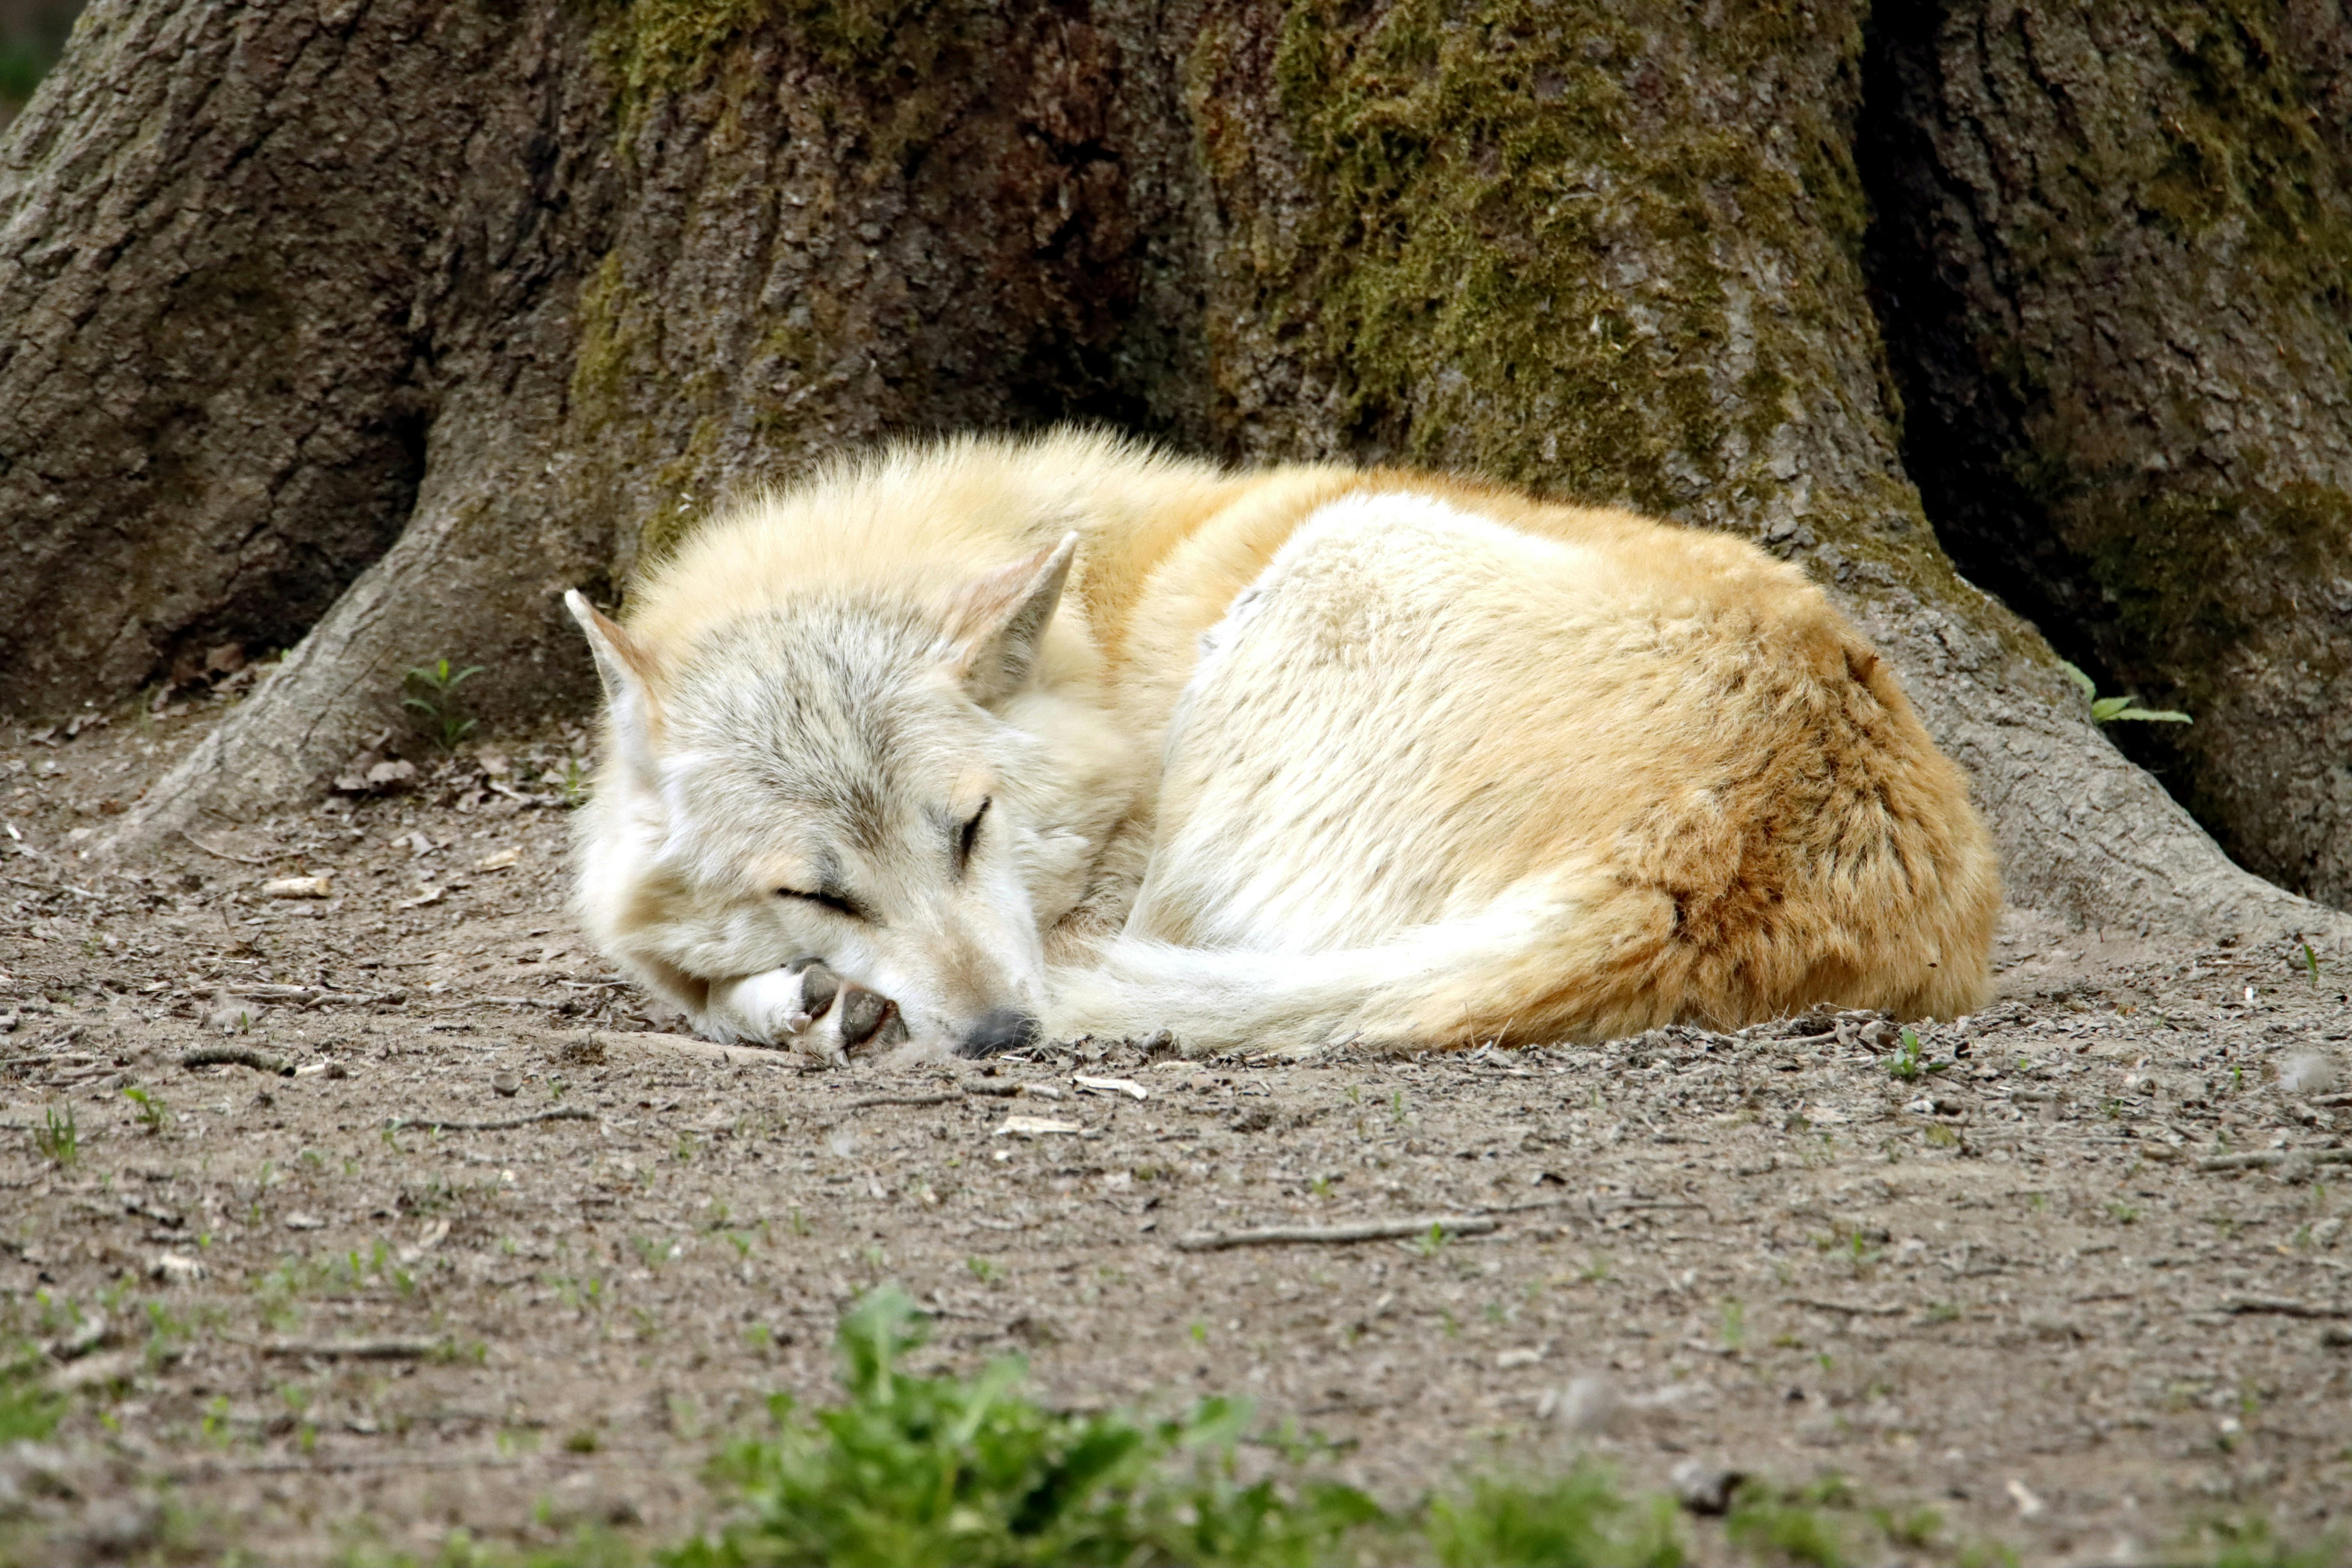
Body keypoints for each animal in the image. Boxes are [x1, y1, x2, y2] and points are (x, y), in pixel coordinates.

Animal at [566, 428, 2000, 1061]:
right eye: (817, 891)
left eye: (969, 829)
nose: (1001, 1039)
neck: (1101, 641)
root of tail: (1698, 859)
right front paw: (793, 993)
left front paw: (801, 1006)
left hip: (1336, 560)